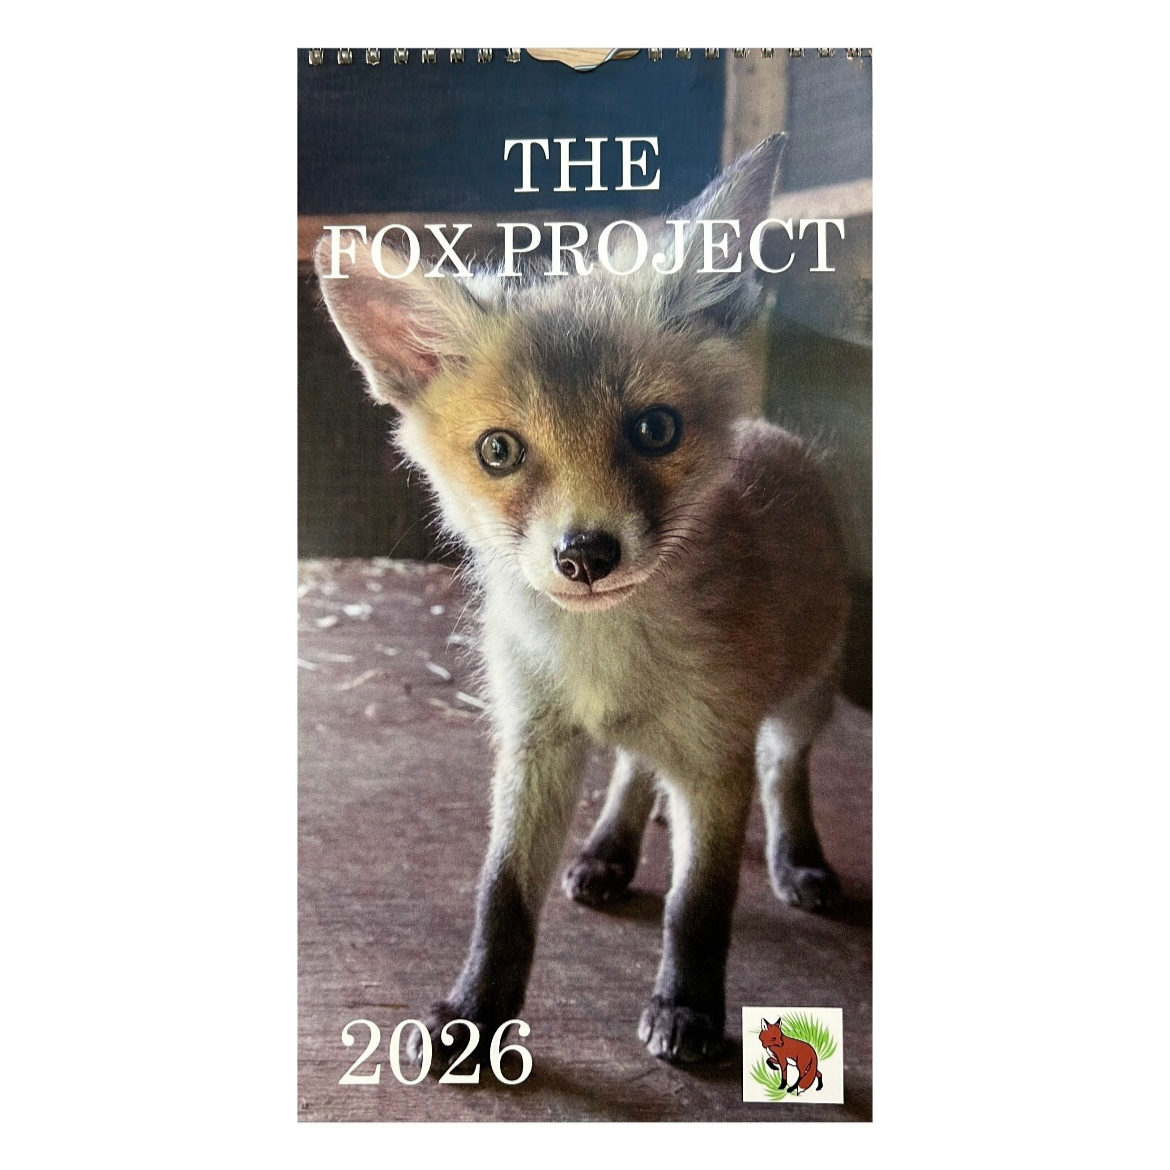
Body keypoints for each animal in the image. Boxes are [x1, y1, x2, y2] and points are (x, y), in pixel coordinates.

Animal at [314, 134, 849, 1069]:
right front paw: (478, 1010)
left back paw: (797, 861)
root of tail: (780, 434)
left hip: (802, 701)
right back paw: (608, 850)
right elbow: (501, 895)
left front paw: (688, 1008)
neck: (605, 657)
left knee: (784, 774)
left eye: (655, 430)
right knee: (634, 769)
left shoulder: (716, 753)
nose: (585, 555)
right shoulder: (533, 741)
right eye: (498, 451)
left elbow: (698, 906)